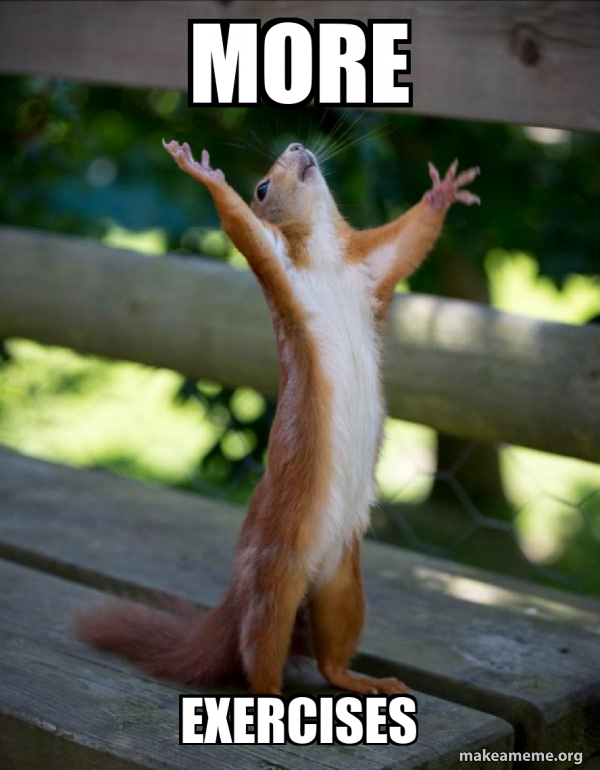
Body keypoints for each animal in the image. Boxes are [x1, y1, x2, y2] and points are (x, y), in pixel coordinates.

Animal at [77, 138, 480, 696]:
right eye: (263, 187)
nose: (296, 146)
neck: (327, 259)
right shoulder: (277, 264)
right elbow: (240, 226)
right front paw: (204, 173)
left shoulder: (372, 267)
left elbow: (410, 239)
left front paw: (442, 193)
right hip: (273, 583)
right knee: (260, 657)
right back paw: (274, 694)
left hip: (344, 586)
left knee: (332, 656)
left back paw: (365, 681)